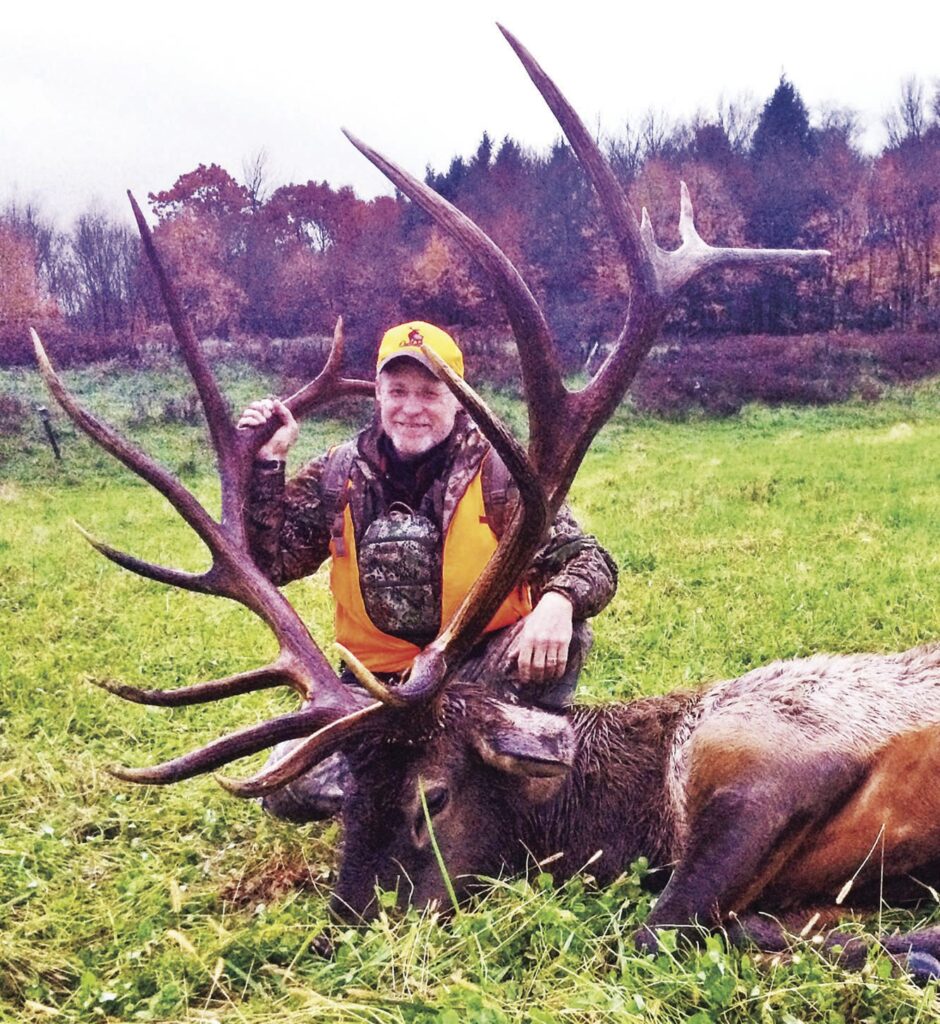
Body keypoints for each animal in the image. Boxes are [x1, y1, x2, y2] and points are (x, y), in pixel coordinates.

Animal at [32, 26, 940, 982]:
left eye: (432, 796)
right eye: (347, 801)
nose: (341, 934)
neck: (640, 808)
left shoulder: (776, 763)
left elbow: (662, 926)